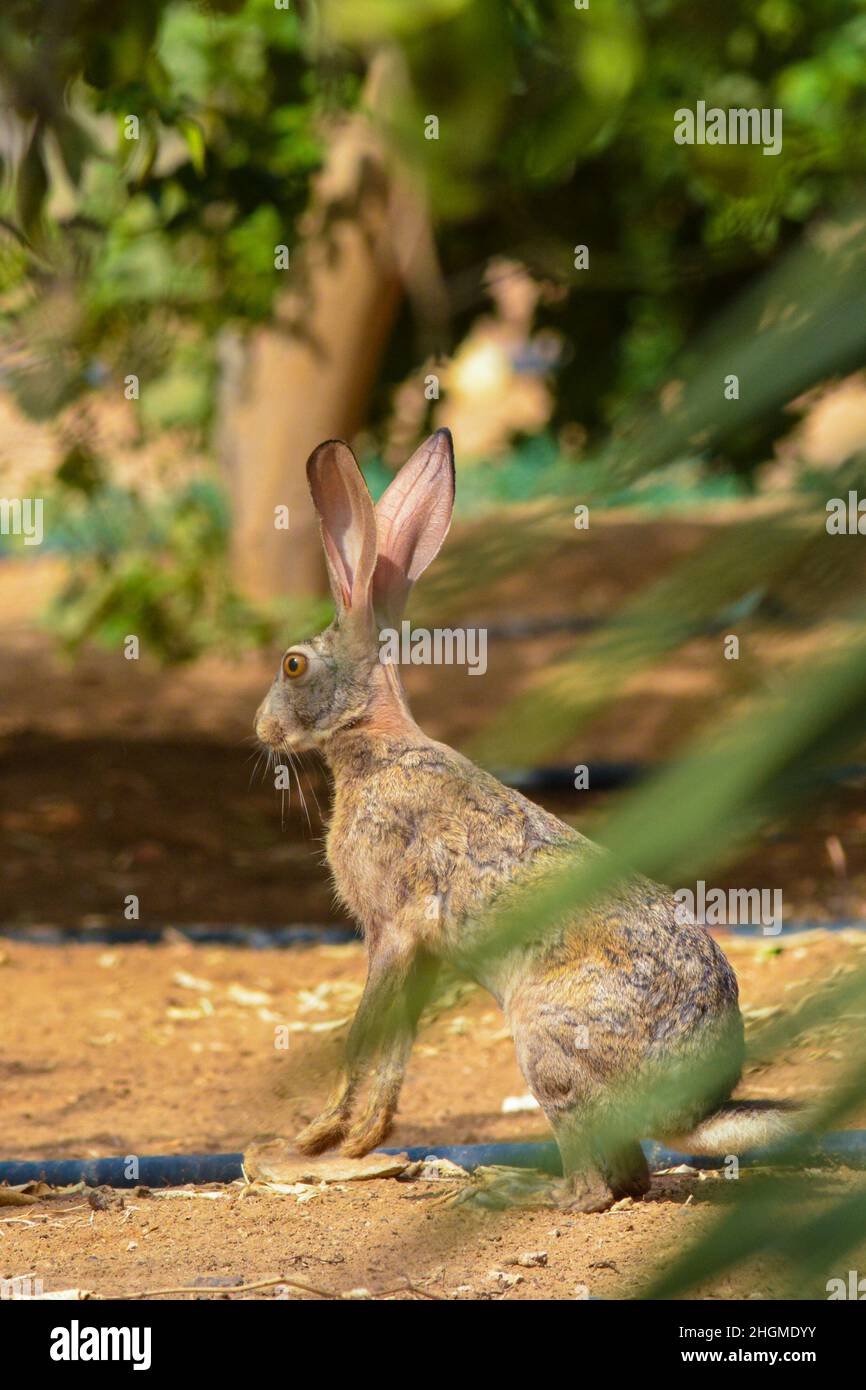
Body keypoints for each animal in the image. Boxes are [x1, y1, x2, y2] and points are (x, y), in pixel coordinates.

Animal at [254, 429, 796, 1212]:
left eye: (294, 665)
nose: (260, 728)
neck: (375, 738)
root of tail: (694, 1109)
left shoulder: (393, 929)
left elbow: (362, 1041)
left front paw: (318, 1139)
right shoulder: (419, 952)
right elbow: (394, 1054)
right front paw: (355, 1143)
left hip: (544, 1041)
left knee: (595, 1189)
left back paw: (508, 1191)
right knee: (630, 1177)